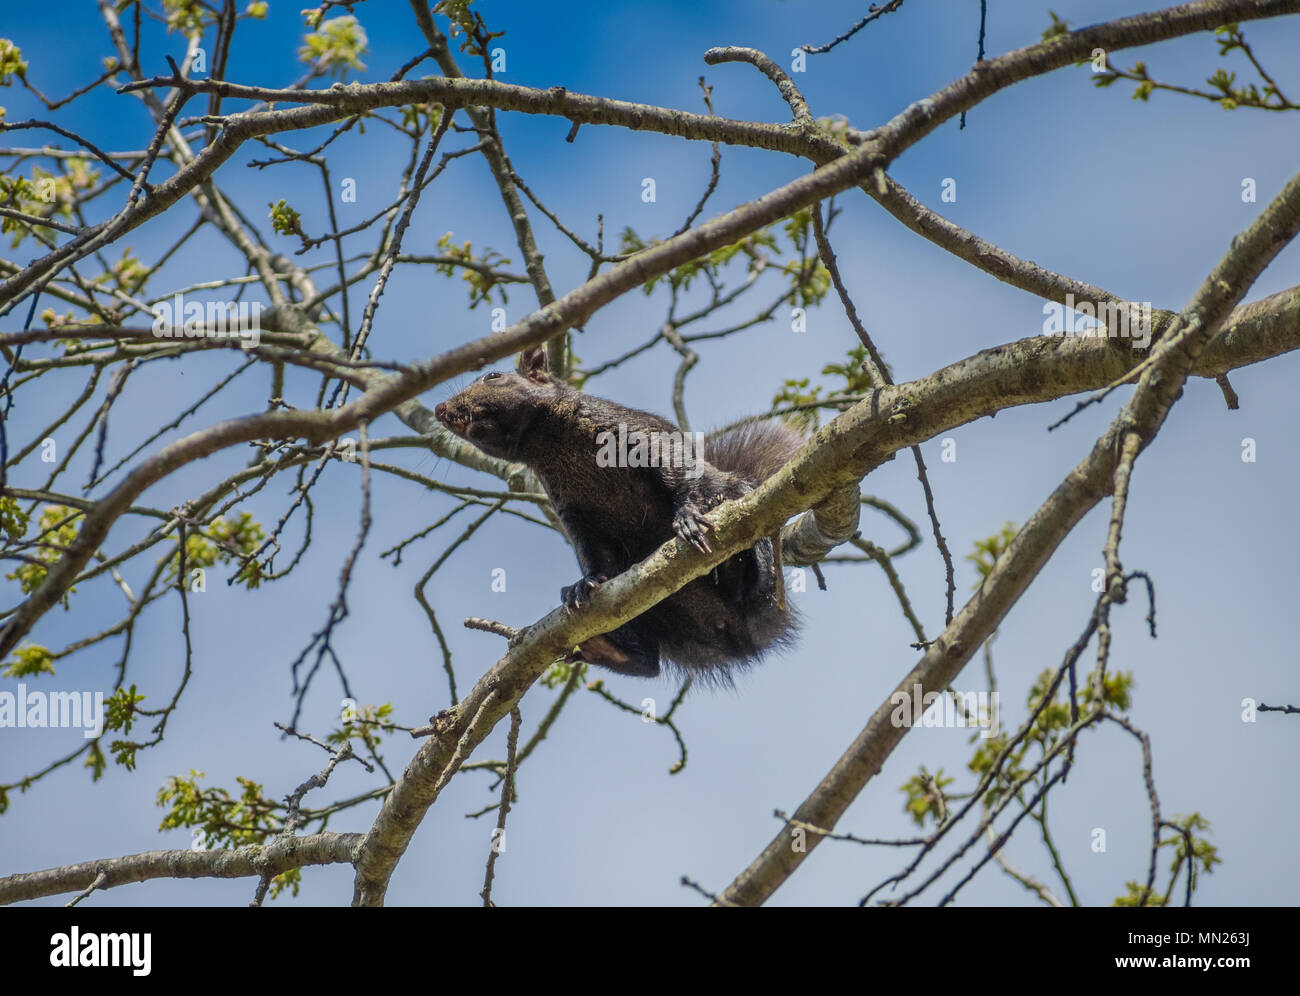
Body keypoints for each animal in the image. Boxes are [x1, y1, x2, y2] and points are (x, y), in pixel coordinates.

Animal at [434, 347, 803, 680]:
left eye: (493, 376)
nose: (440, 409)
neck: (548, 444)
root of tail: (741, 636)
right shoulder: (574, 512)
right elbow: (593, 552)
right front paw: (584, 584)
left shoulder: (640, 433)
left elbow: (678, 468)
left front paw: (687, 517)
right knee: (648, 664)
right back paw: (609, 648)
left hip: (754, 552)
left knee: (752, 576)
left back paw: (732, 554)